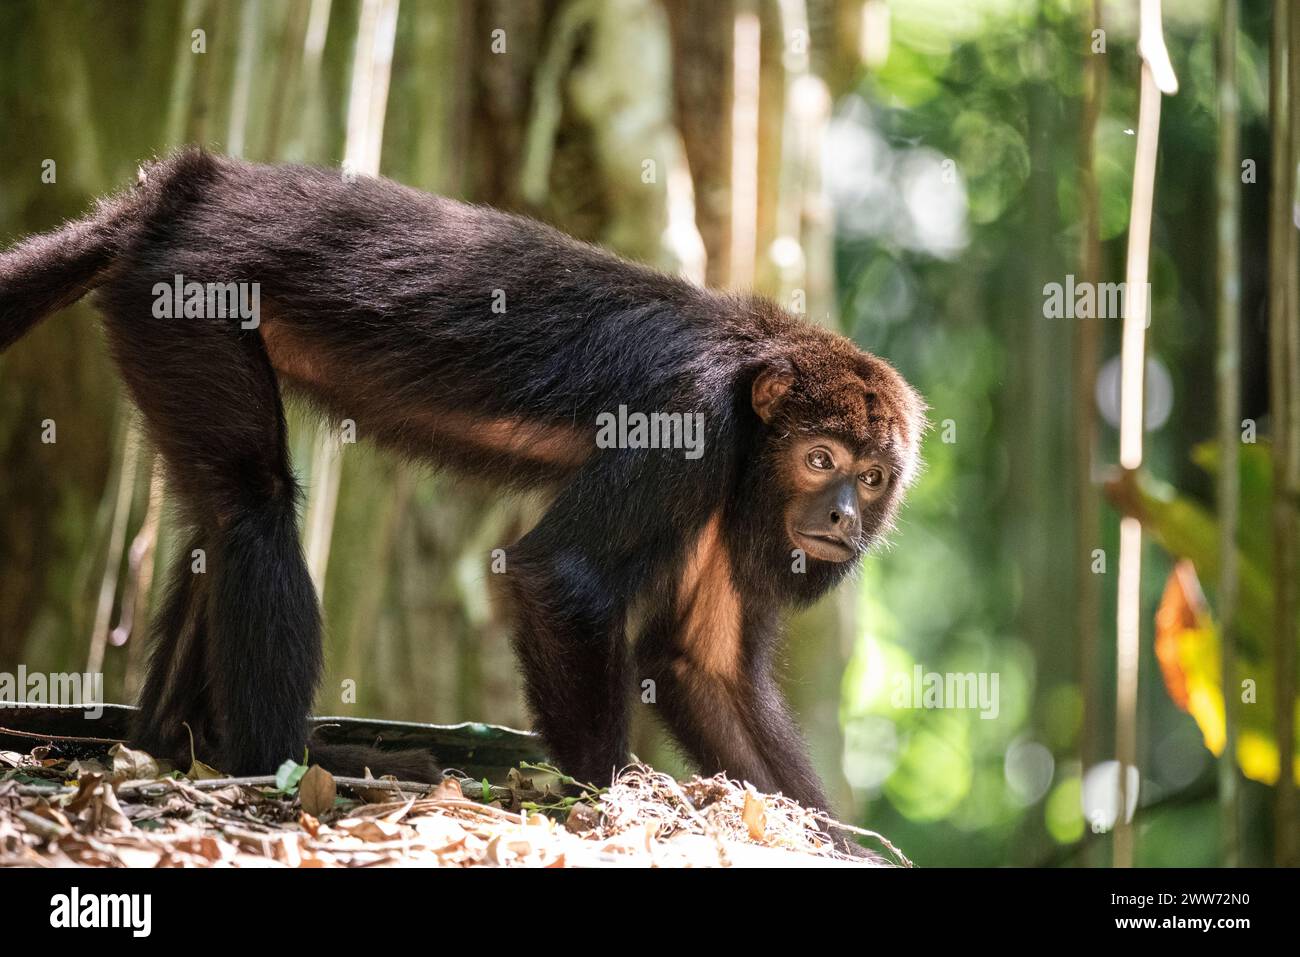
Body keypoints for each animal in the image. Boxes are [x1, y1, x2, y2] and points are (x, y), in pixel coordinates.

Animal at [0, 149, 925, 826]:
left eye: (873, 475)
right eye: (819, 458)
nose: (842, 514)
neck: (751, 390)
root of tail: (178, 189)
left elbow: (704, 664)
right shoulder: (691, 425)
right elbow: (560, 575)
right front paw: (607, 794)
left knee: (213, 520)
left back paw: (170, 739)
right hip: (189, 294)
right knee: (251, 499)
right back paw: (274, 766)